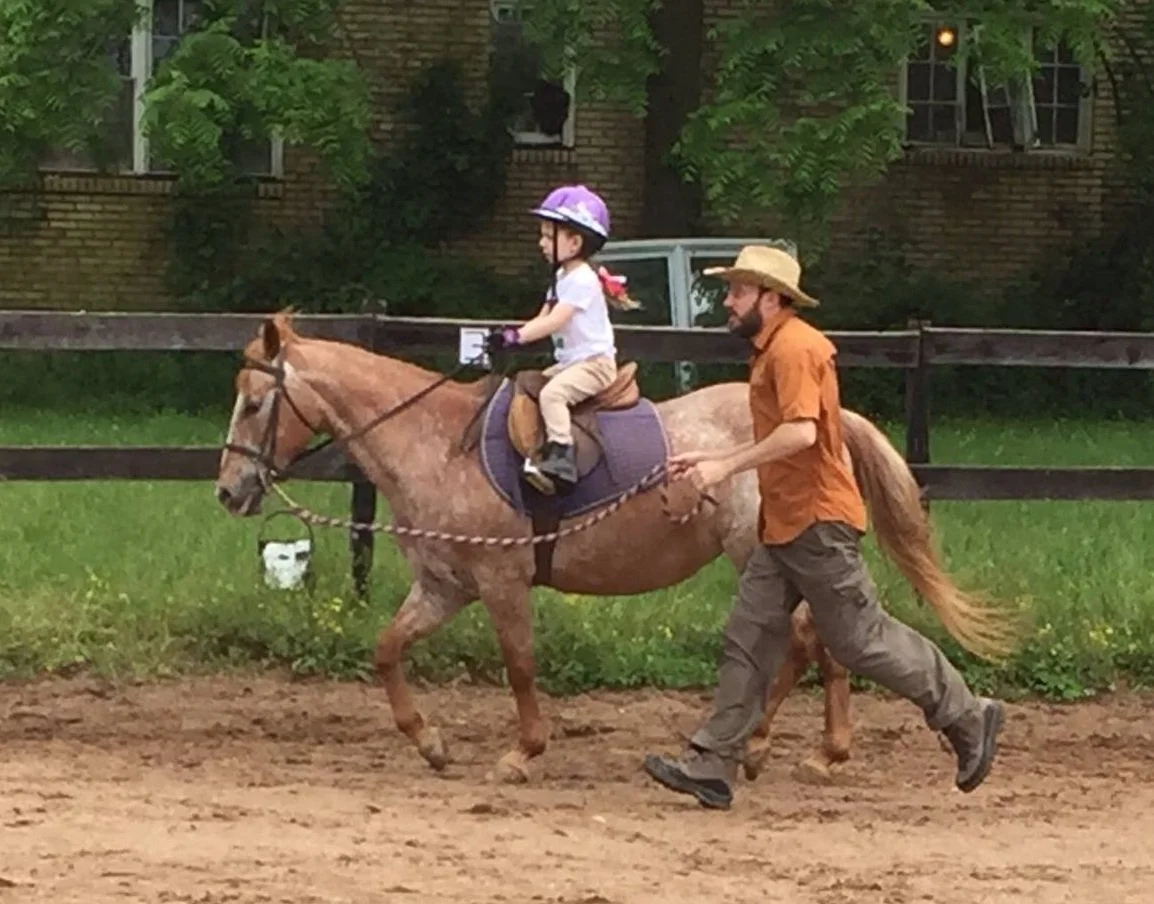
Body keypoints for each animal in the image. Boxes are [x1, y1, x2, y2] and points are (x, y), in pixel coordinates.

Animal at [214, 312, 1013, 785]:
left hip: (760, 554)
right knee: (809, 642)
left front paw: (522, 752)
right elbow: (385, 650)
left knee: (812, 641)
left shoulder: (500, 582)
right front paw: (429, 742)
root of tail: (822, 420)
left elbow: (520, 664)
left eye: (254, 403)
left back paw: (807, 749)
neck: (439, 444)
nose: (229, 492)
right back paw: (769, 748)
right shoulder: (444, 587)